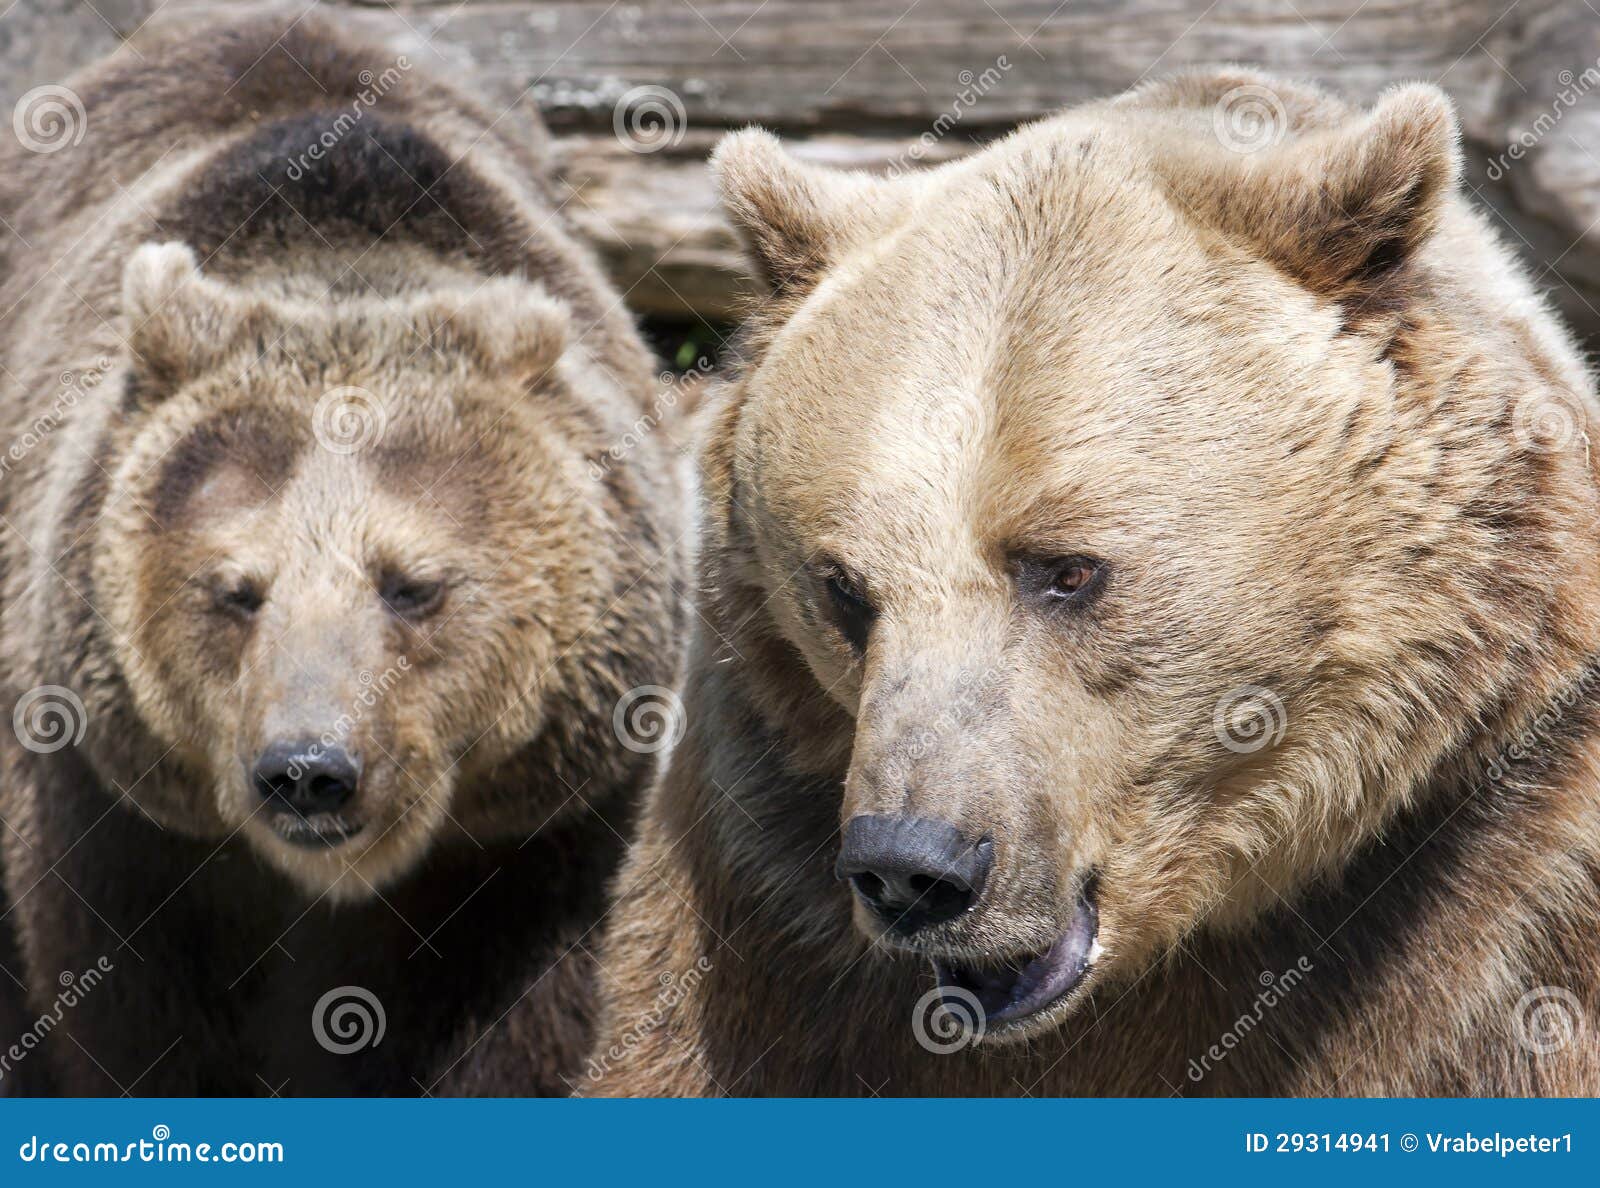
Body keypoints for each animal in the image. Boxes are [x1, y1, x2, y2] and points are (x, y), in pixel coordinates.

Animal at [0, 9, 686, 1096]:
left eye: (411, 585)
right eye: (236, 589)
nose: (307, 770)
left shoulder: (536, 829)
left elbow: (512, 1025)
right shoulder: (122, 812)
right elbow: (136, 1020)